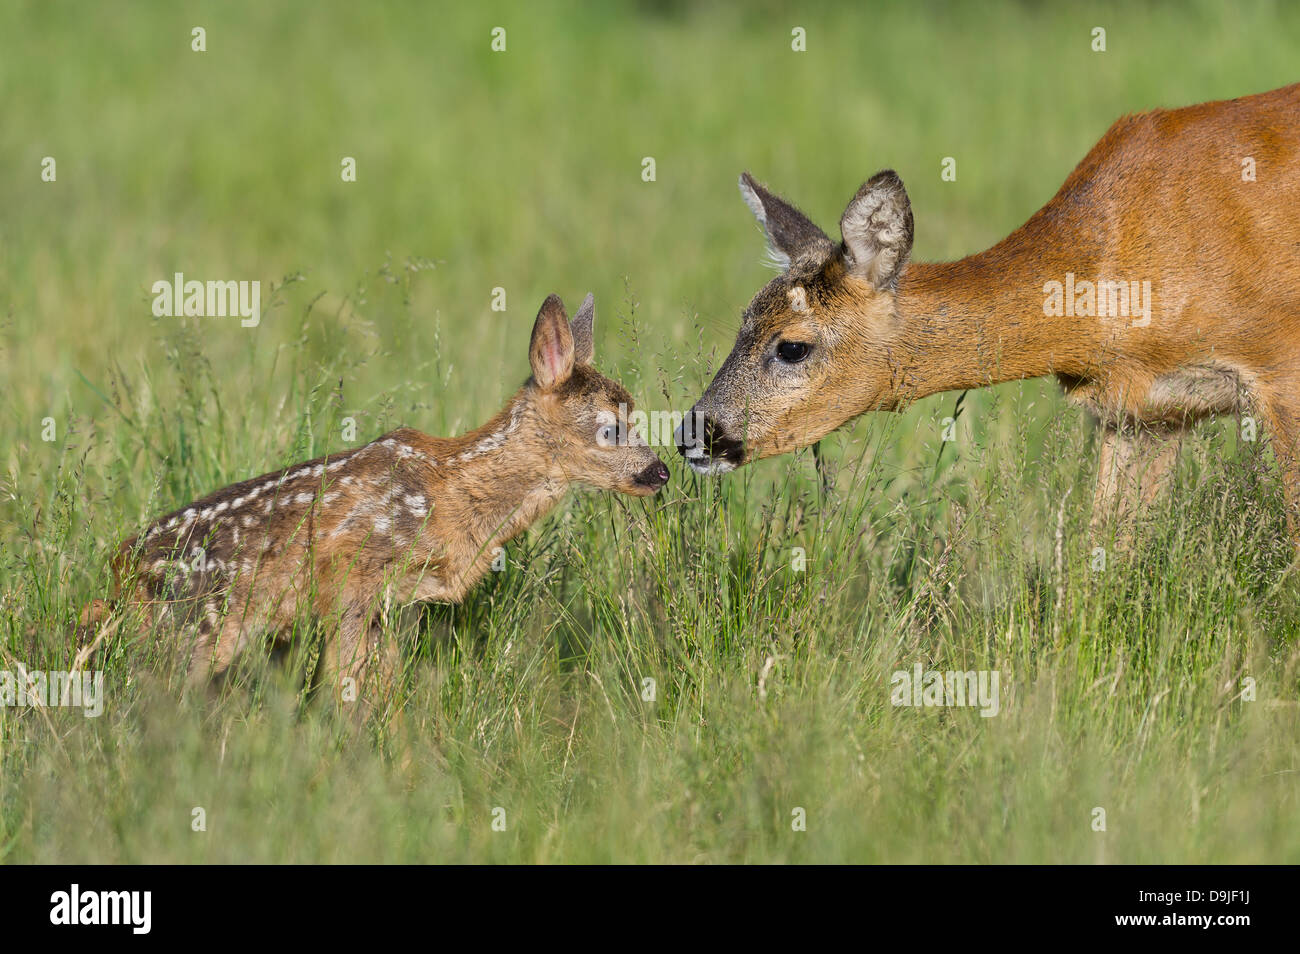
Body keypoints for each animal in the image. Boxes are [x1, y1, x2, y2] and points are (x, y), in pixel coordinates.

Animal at [86, 292, 670, 709]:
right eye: (612, 429)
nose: (661, 471)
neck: (452, 495)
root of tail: (120, 568)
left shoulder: (391, 603)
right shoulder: (351, 575)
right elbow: (346, 686)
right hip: (196, 626)